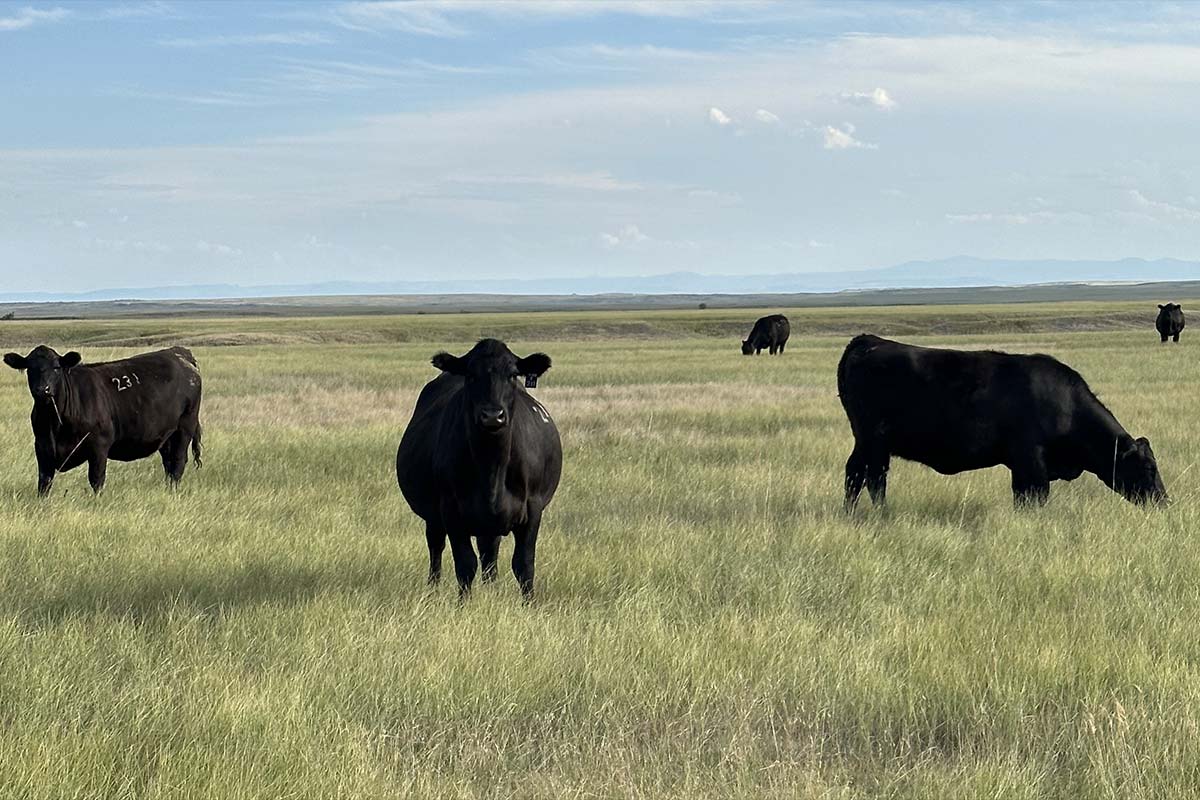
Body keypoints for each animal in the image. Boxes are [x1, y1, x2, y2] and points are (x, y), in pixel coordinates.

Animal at [3, 345, 203, 496]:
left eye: (56, 368)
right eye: (30, 368)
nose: (42, 389)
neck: (55, 423)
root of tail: (179, 353)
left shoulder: (99, 445)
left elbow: (96, 479)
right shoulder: (42, 447)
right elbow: (44, 482)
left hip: (185, 427)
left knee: (178, 462)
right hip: (166, 435)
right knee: (168, 463)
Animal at [396, 339, 562, 600]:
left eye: (512, 374)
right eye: (471, 375)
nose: (493, 416)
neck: (492, 469)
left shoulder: (533, 508)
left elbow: (524, 564)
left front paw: (530, 604)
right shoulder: (451, 509)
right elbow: (465, 564)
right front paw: (463, 604)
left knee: (489, 552)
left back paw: (491, 587)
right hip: (433, 516)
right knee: (436, 547)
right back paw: (433, 591)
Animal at [837, 334, 1167, 509]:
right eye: (1149, 468)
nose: (1164, 501)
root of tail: (869, 342)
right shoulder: (1030, 462)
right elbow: (1034, 497)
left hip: (864, 442)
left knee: (855, 474)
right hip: (875, 442)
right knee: (874, 479)